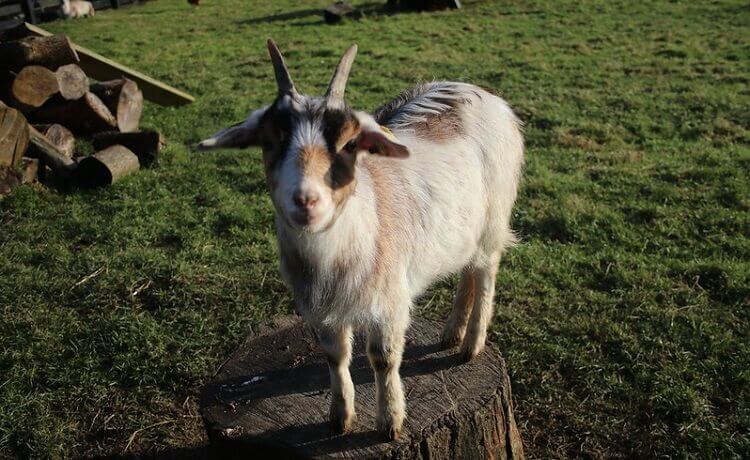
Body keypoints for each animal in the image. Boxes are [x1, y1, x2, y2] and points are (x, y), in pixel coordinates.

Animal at [198, 40, 524, 440]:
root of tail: (479, 91)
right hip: (464, 229)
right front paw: (339, 418)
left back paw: (471, 345)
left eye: (350, 143)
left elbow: (384, 359)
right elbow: (335, 356)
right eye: (269, 141)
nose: (305, 200)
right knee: (467, 271)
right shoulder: (321, 309)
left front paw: (390, 421)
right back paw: (451, 333)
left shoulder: (390, 302)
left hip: (494, 219)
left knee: (486, 273)